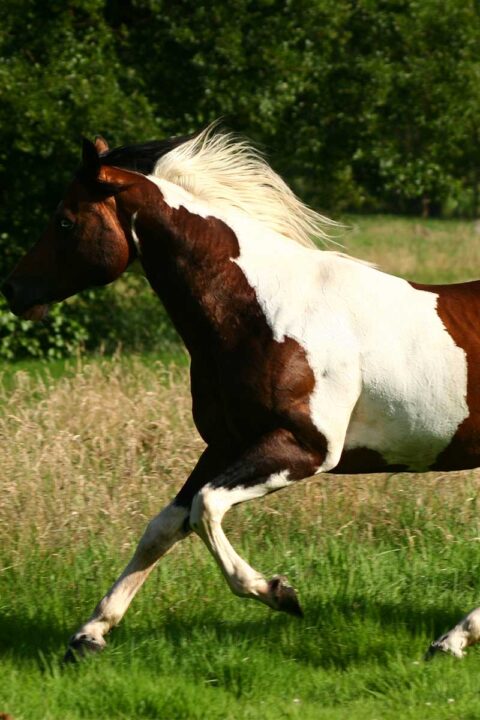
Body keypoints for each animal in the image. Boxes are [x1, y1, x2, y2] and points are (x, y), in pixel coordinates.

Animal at [3, 125, 480, 661]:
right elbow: (163, 527)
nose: (13, 290)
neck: (265, 312)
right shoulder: (225, 444)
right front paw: (89, 635)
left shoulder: (305, 449)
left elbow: (205, 507)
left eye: (64, 221)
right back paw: (451, 640)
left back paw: (453, 639)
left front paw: (279, 593)